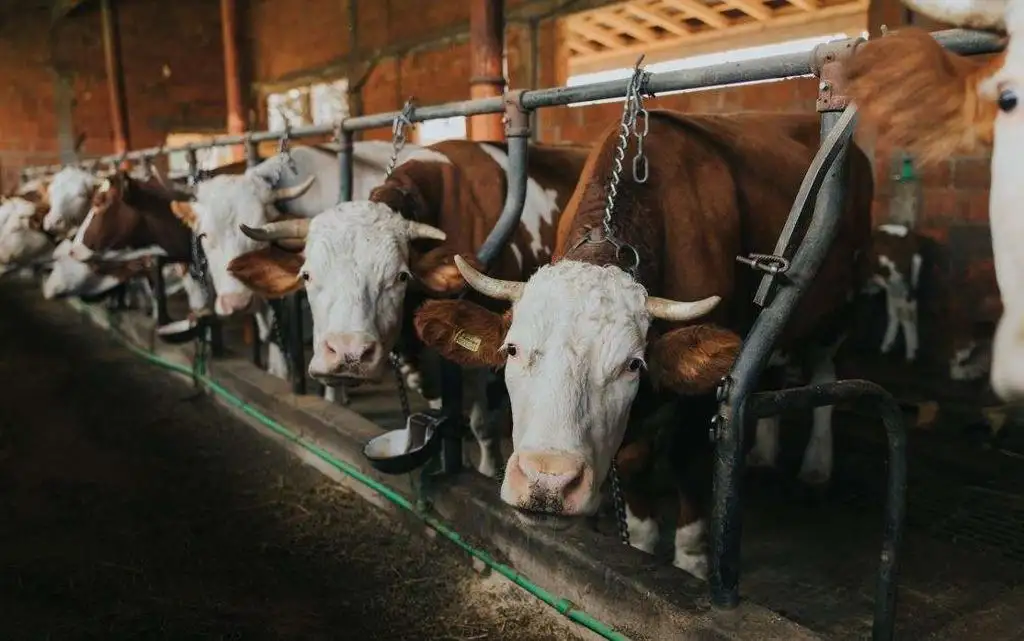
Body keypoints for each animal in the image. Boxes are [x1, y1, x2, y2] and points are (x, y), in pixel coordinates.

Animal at [410, 111, 872, 578]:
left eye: (632, 364)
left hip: (837, 310)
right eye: (512, 350)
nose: (547, 481)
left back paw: (816, 467)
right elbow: (633, 467)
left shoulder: (701, 397)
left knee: (826, 378)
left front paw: (690, 560)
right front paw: (642, 542)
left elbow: (686, 463)